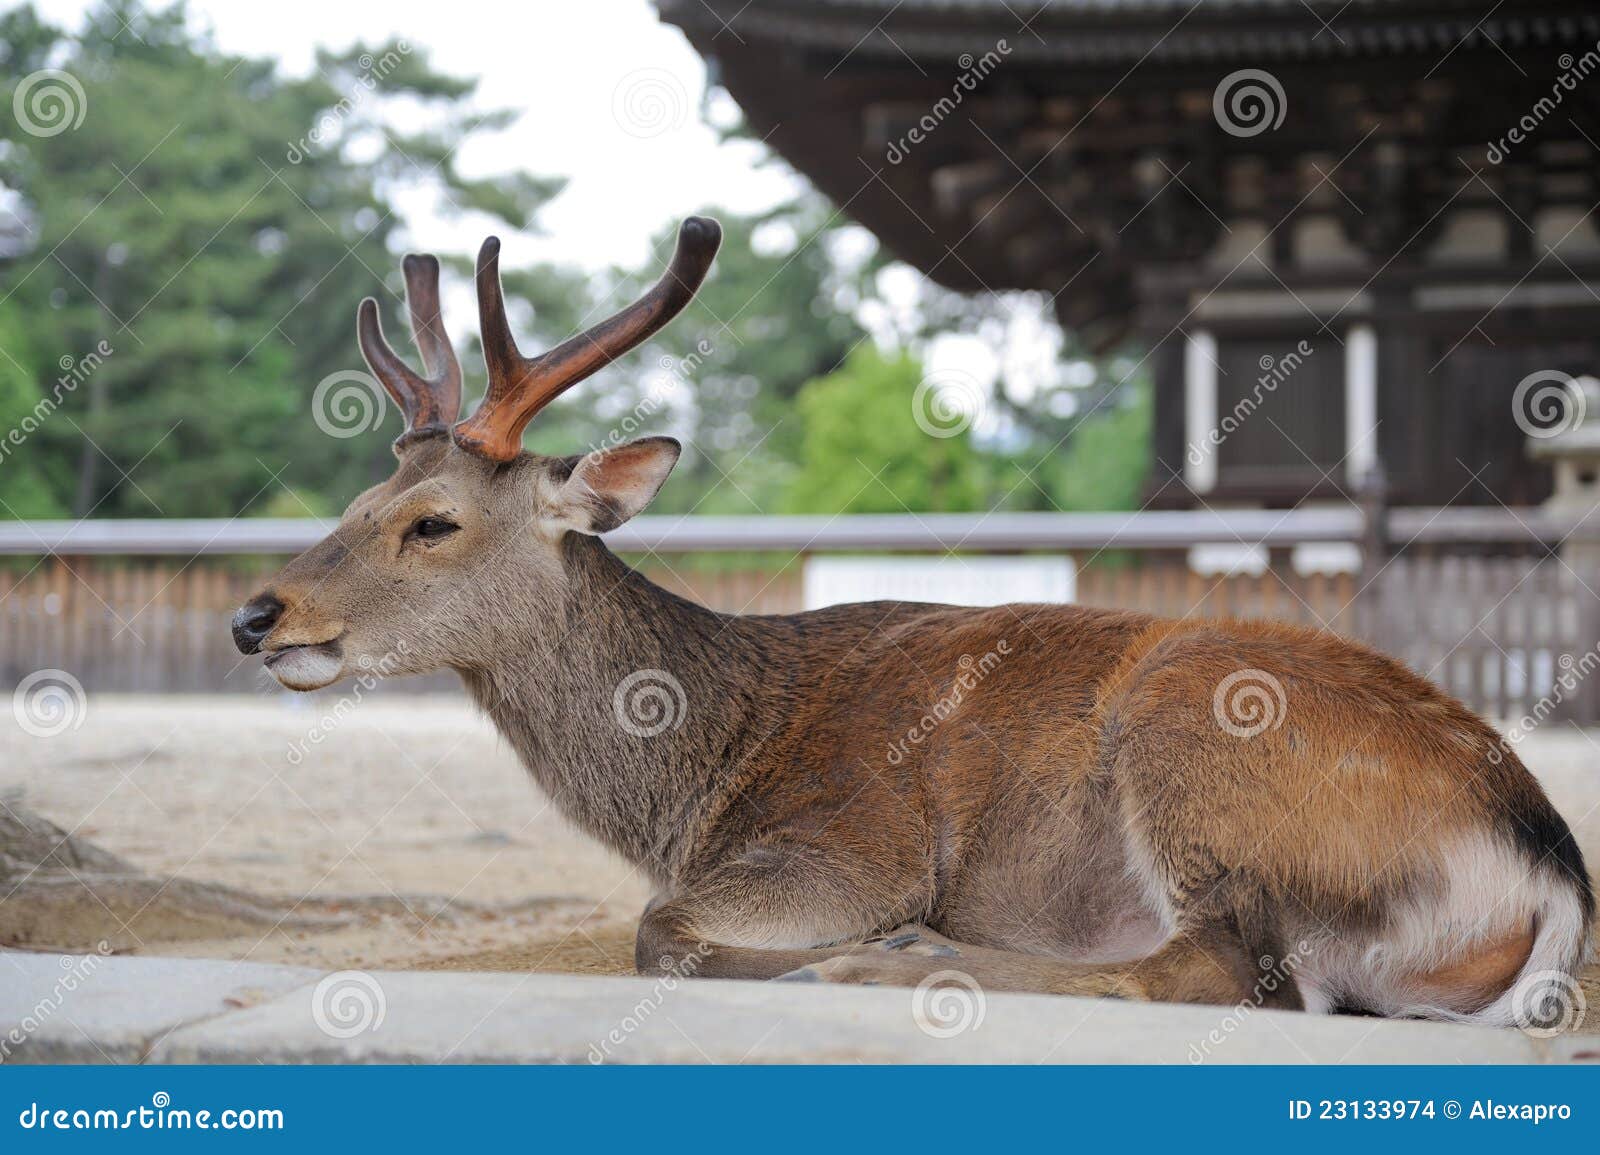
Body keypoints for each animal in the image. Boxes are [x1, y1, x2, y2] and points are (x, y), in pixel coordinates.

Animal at [232, 217, 1592, 1027]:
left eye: (433, 524)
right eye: (356, 503)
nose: (257, 614)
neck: (698, 782)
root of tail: (1547, 867)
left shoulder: (853, 844)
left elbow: (658, 928)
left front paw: (835, 947)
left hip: (1200, 738)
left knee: (1218, 972)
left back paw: (884, 961)